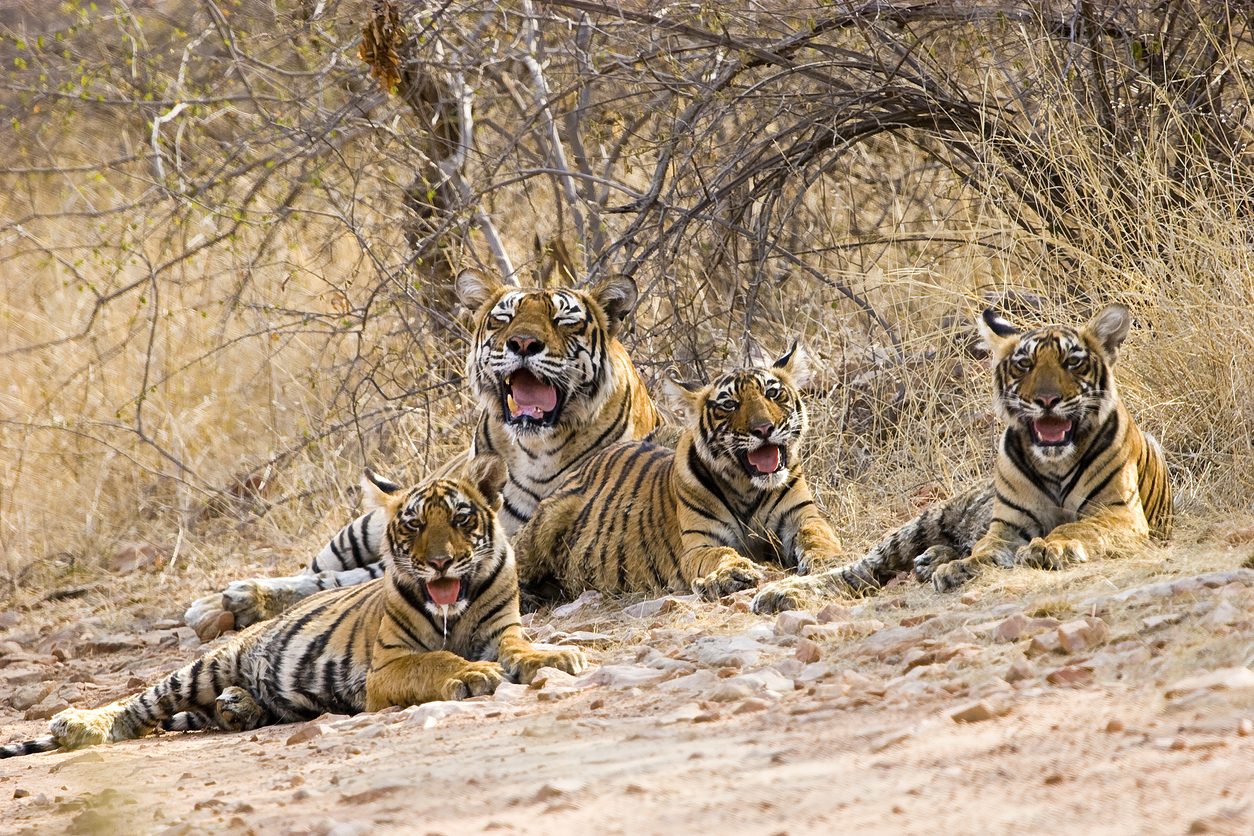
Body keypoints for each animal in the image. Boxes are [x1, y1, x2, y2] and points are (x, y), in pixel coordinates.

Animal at [2, 456, 584, 758]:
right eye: (415, 525)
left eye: (462, 519)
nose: (441, 563)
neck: (454, 610)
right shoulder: (388, 666)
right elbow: (434, 660)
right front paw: (470, 674)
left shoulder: (503, 630)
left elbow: (523, 648)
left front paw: (557, 658)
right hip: (207, 664)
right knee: (141, 706)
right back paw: (81, 727)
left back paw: (238, 707)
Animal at [184, 265, 664, 634]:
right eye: (502, 320)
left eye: (564, 321)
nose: (524, 344)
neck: (540, 448)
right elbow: (337, 580)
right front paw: (244, 598)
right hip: (359, 529)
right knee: (314, 568)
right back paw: (214, 605)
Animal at [511, 344, 844, 602]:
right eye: (729, 404)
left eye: (773, 394)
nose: (764, 429)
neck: (746, 486)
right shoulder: (699, 543)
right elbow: (718, 555)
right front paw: (733, 573)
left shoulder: (802, 517)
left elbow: (818, 535)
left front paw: (828, 558)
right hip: (543, 525)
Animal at [752, 304, 1173, 613]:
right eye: (1024, 364)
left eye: (1072, 362)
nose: (1047, 400)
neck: (1055, 461)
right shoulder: (1006, 525)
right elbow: (986, 549)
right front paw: (962, 569)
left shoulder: (1119, 513)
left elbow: (1076, 528)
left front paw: (1047, 547)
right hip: (923, 522)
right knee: (859, 569)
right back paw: (778, 593)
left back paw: (930, 561)